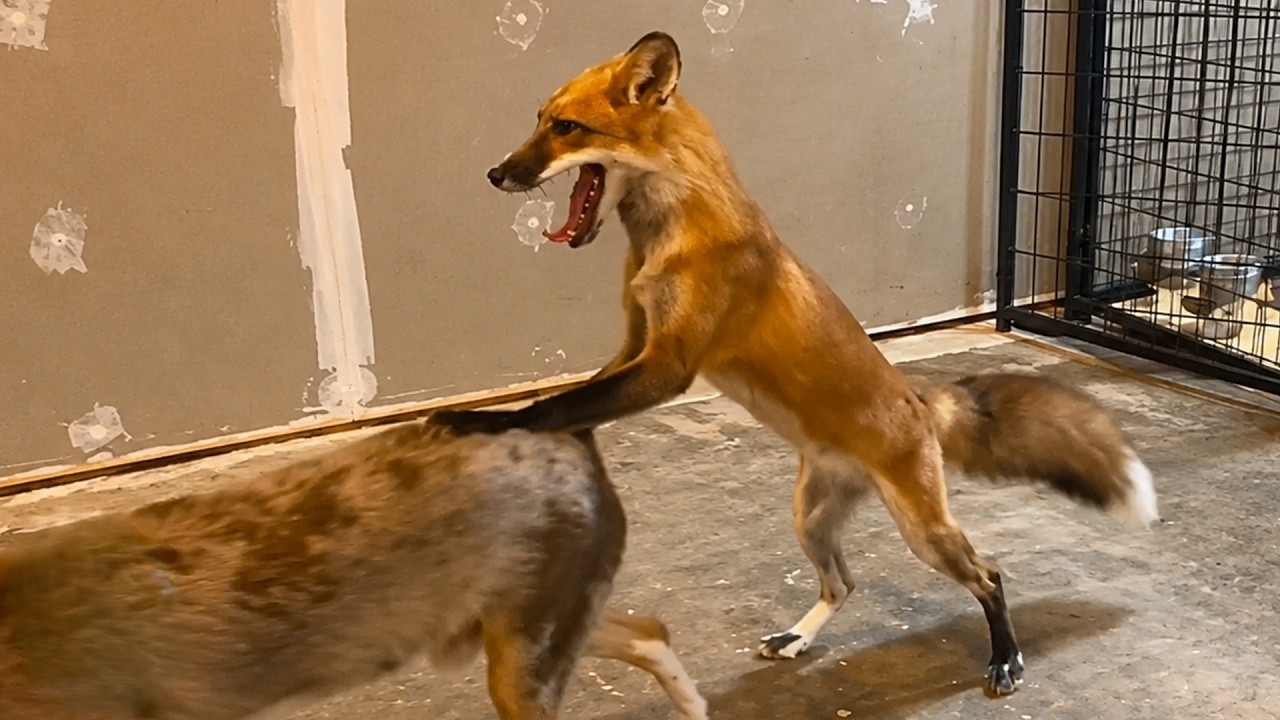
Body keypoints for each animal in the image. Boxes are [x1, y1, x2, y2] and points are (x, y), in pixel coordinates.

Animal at [432, 31, 1160, 697]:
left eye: (566, 128)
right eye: (537, 119)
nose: (496, 174)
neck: (668, 234)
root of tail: (918, 402)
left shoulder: (671, 363)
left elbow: (551, 404)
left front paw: (475, 424)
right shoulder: (633, 346)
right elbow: (575, 403)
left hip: (923, 532)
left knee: (990, 574)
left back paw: (1004, 659)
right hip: (809, 517)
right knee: (845, 583)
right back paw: (798, 638)